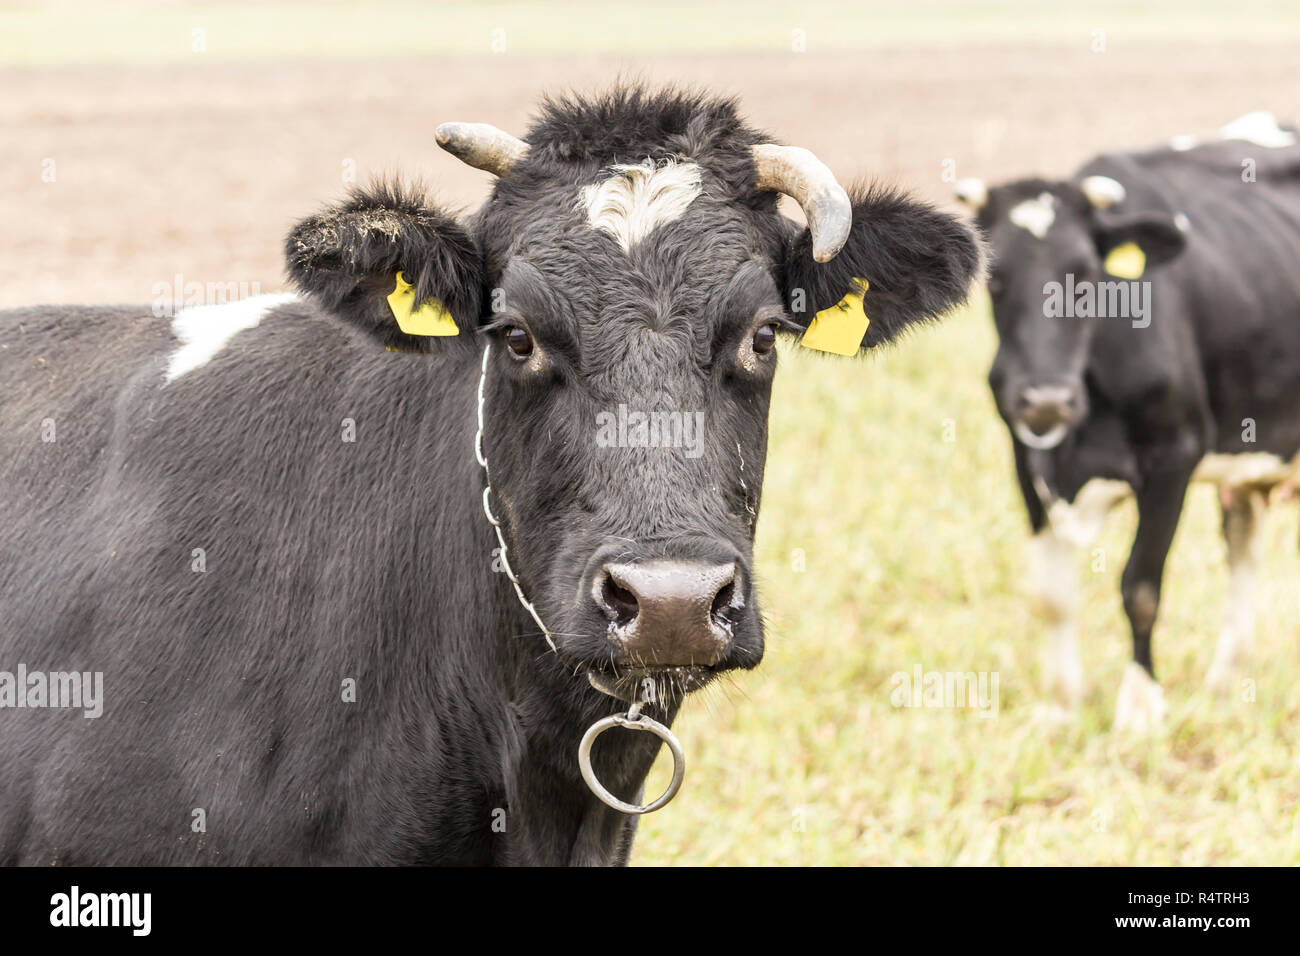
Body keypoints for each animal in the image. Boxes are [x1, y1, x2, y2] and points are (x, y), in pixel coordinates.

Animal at [955, 112, 1300, 731]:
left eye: (1087, 276)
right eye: (995, 280)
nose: (1046, 398)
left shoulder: (1174, 456)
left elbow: (1139, 586)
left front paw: (1140, 708)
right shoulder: (1023, 456)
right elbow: (1053, 597)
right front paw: (1060, 707)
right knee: (1243, 545)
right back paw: (1223, 685)